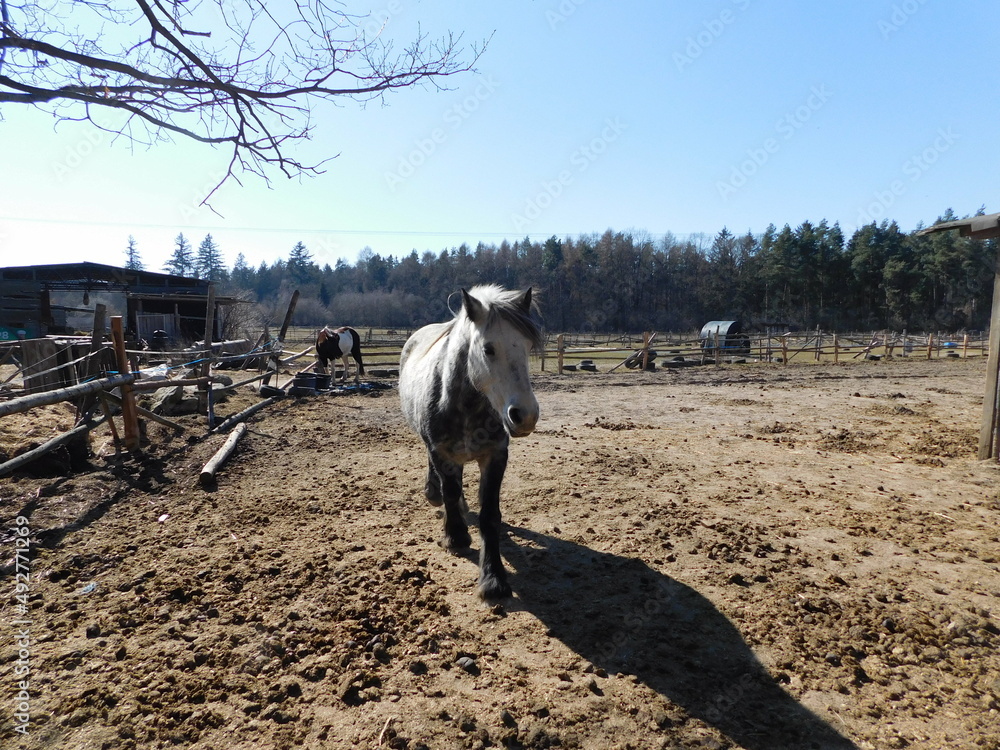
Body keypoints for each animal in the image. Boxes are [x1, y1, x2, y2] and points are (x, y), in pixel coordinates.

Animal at [399, 285, 542, 601]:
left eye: (528, 347)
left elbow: (489, 514)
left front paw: (493, 578)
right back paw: (434, 494)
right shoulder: (442, 453)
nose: (525, 416)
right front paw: (455, 536)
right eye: (488, 349)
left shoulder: (495, 456)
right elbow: (450, 492)